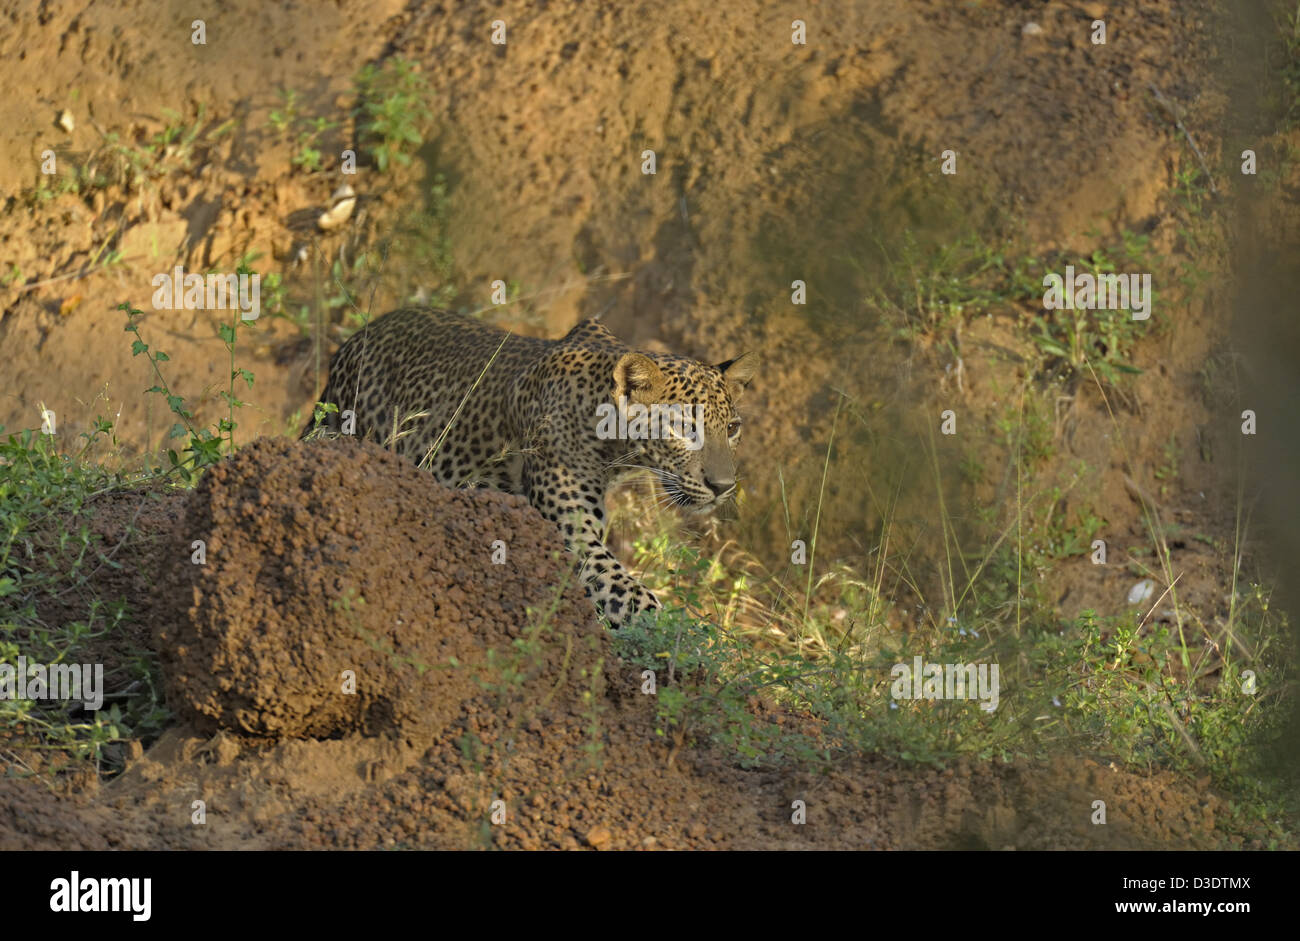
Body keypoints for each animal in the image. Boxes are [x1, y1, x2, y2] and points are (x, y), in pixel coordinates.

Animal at [302, 307, 757, 627]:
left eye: (732, 428)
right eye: (684, 428)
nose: (722, 486)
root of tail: (353, 339)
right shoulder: (571, 537)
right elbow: (637, 601)